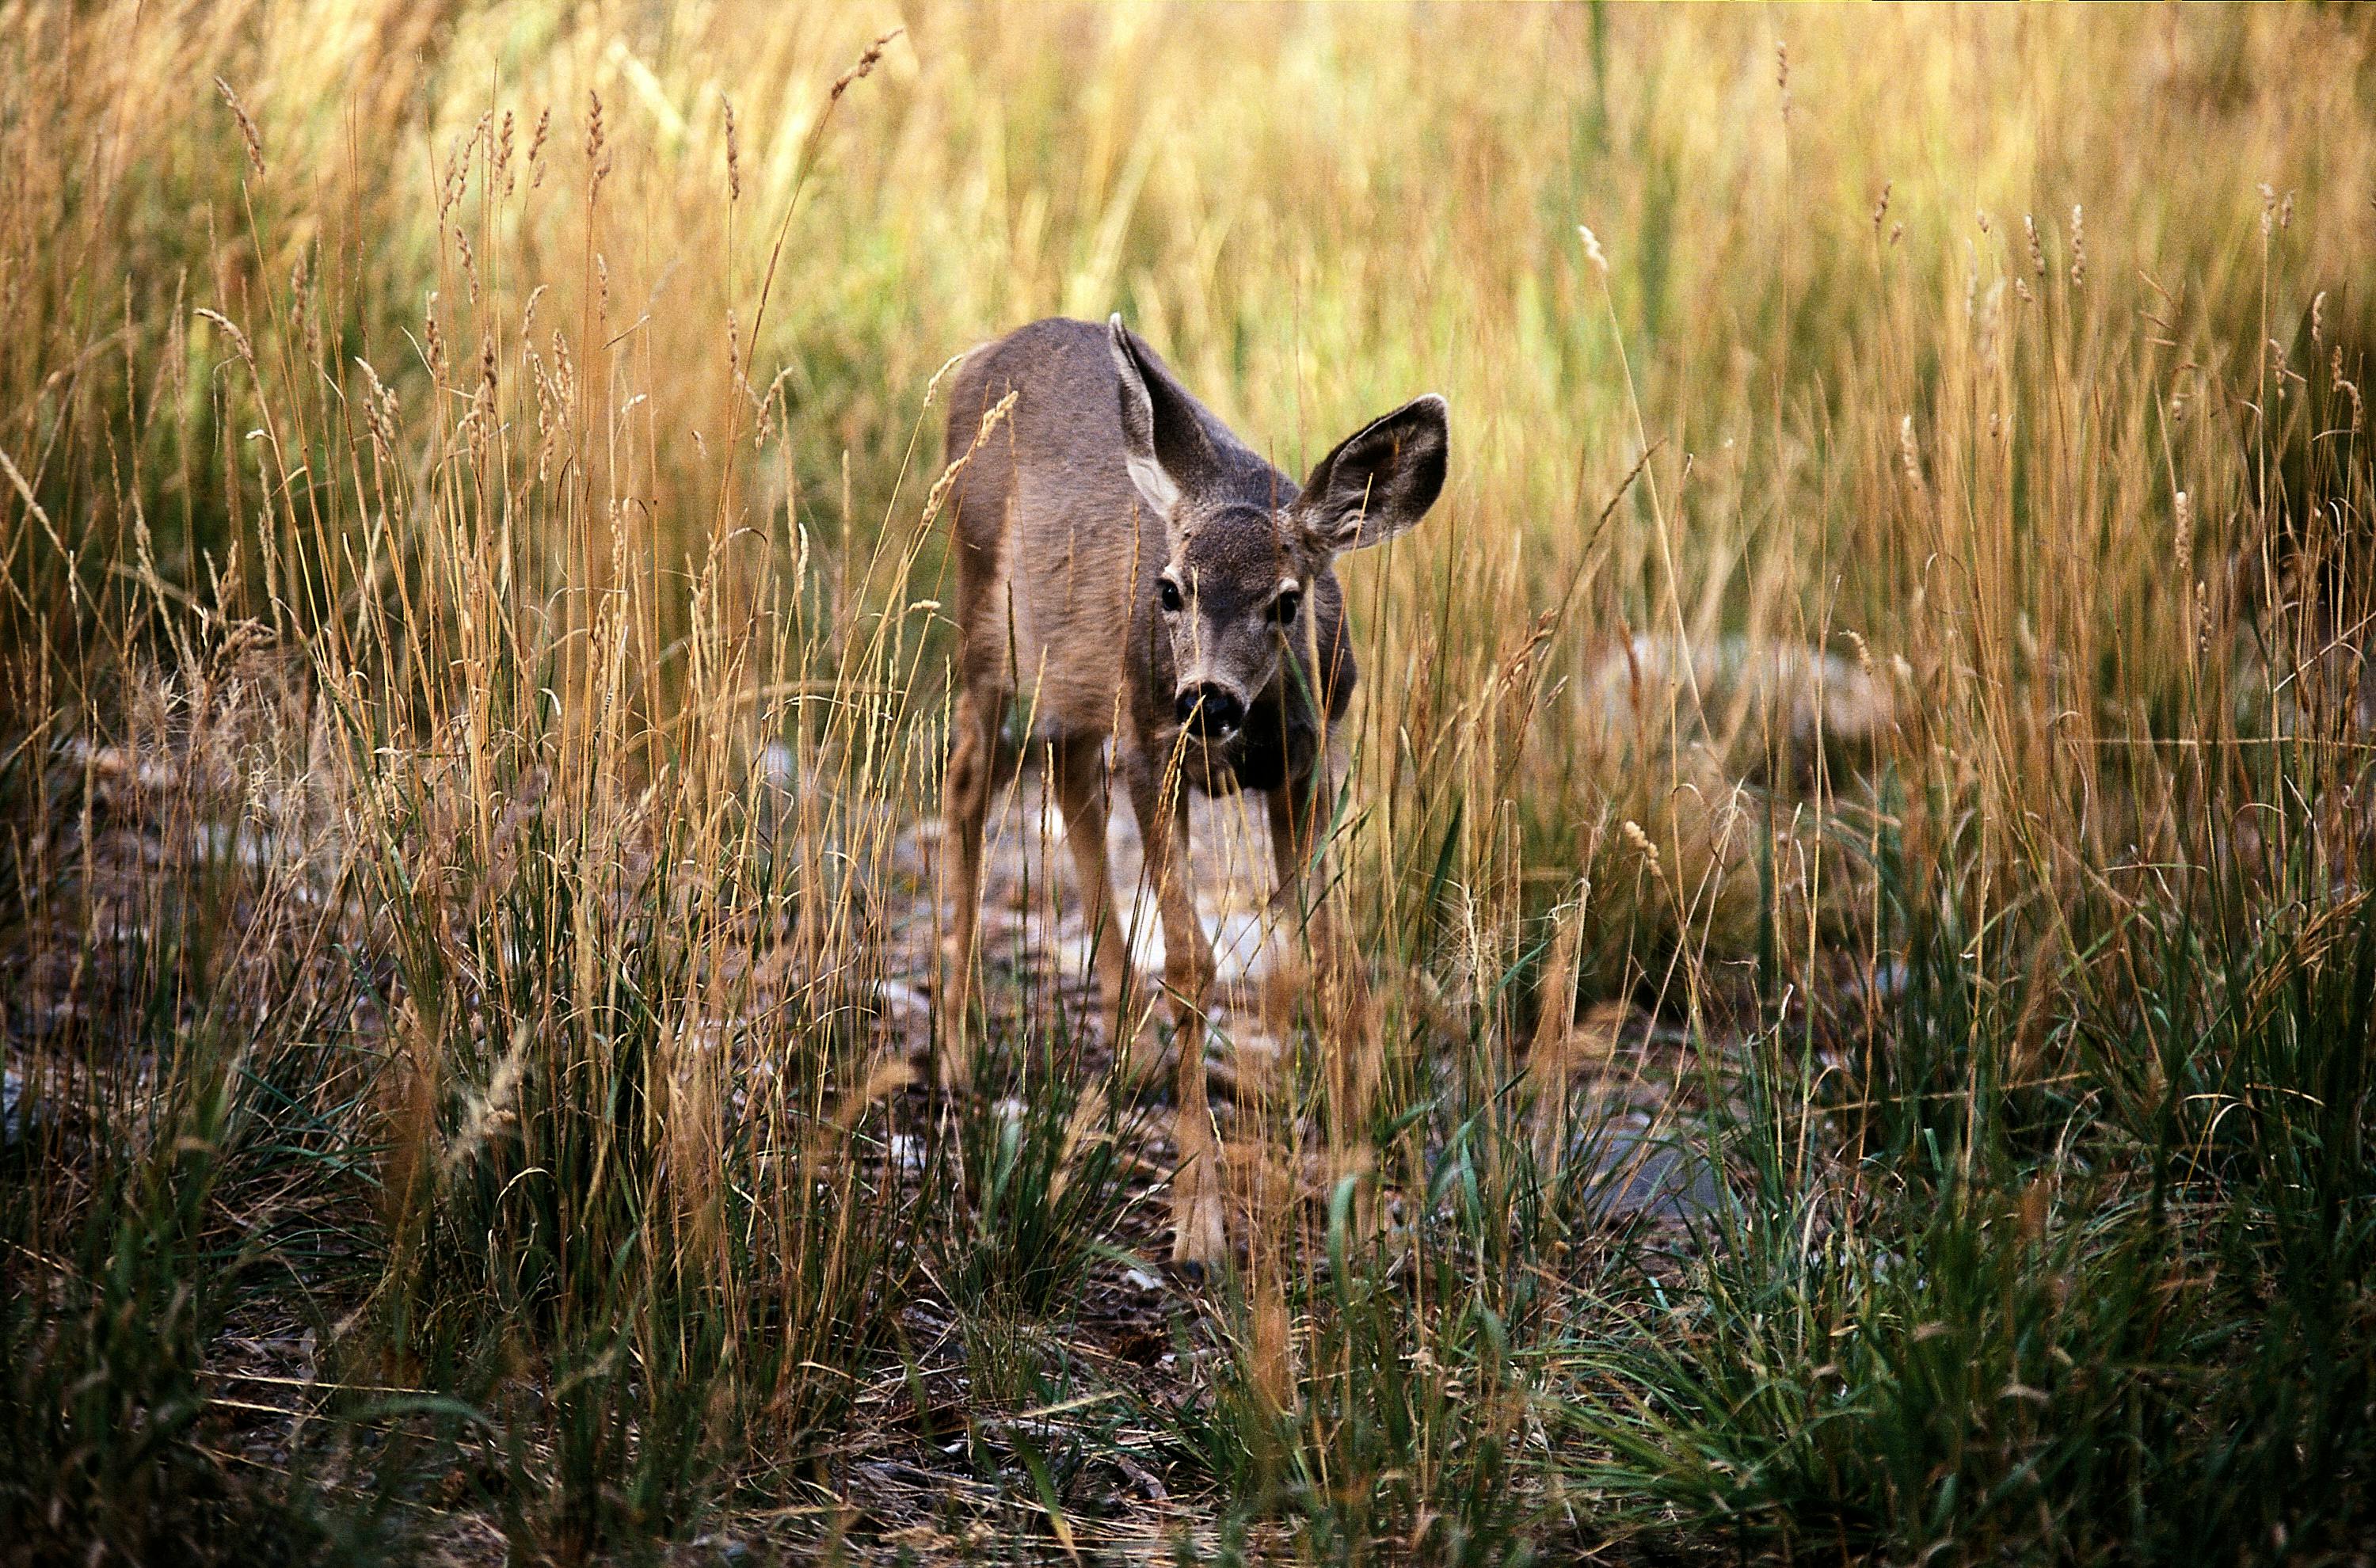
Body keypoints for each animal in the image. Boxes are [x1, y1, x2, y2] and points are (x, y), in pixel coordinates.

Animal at [934, 315, 1448, 1268]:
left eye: (1287, 600)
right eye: (1172, 589)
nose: (1207, 699)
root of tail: (990, 348)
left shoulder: (1309, 771)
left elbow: (1336, 973)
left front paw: (1359, 1216)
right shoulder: (1154, 751)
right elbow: (1189, 963)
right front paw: (1198, 1221)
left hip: (1079, 674)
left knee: (1068, 774)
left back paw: (1126, 1046)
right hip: (987, 610)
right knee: (967, 792)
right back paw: (957, 1049)